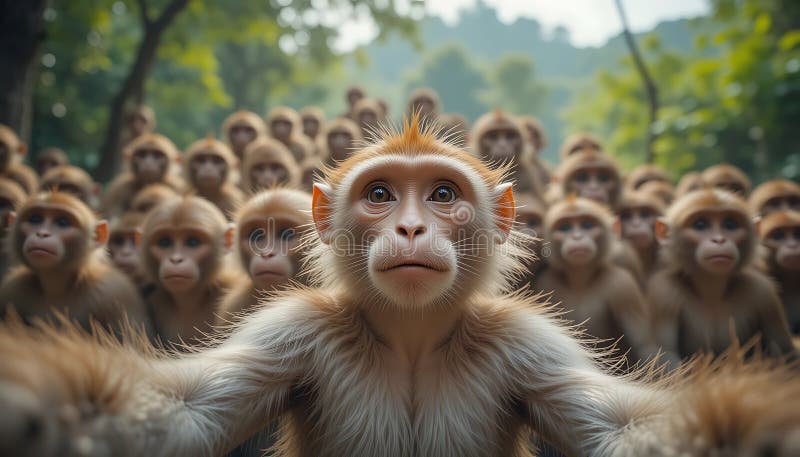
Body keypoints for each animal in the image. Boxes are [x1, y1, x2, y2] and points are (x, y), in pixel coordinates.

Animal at [0, 191, 150, 334]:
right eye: (35, 219)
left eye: (63, 222)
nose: (42, 234)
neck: (57, 286)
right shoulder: (12, 288)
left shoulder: (115, 292)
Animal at [533, 196, 655, 364]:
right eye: (565, 227)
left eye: (587, 225)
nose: (577, 237)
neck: (580, 281)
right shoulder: (547, 282)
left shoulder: (622, 285)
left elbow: (644, 347)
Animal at [648, 188, 796, 362]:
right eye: (700, 225)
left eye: (730, 224)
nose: (719, 240)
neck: (712, 289)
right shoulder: (664, 293)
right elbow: (665, 355)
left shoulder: (763, 292)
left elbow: (788, 355)